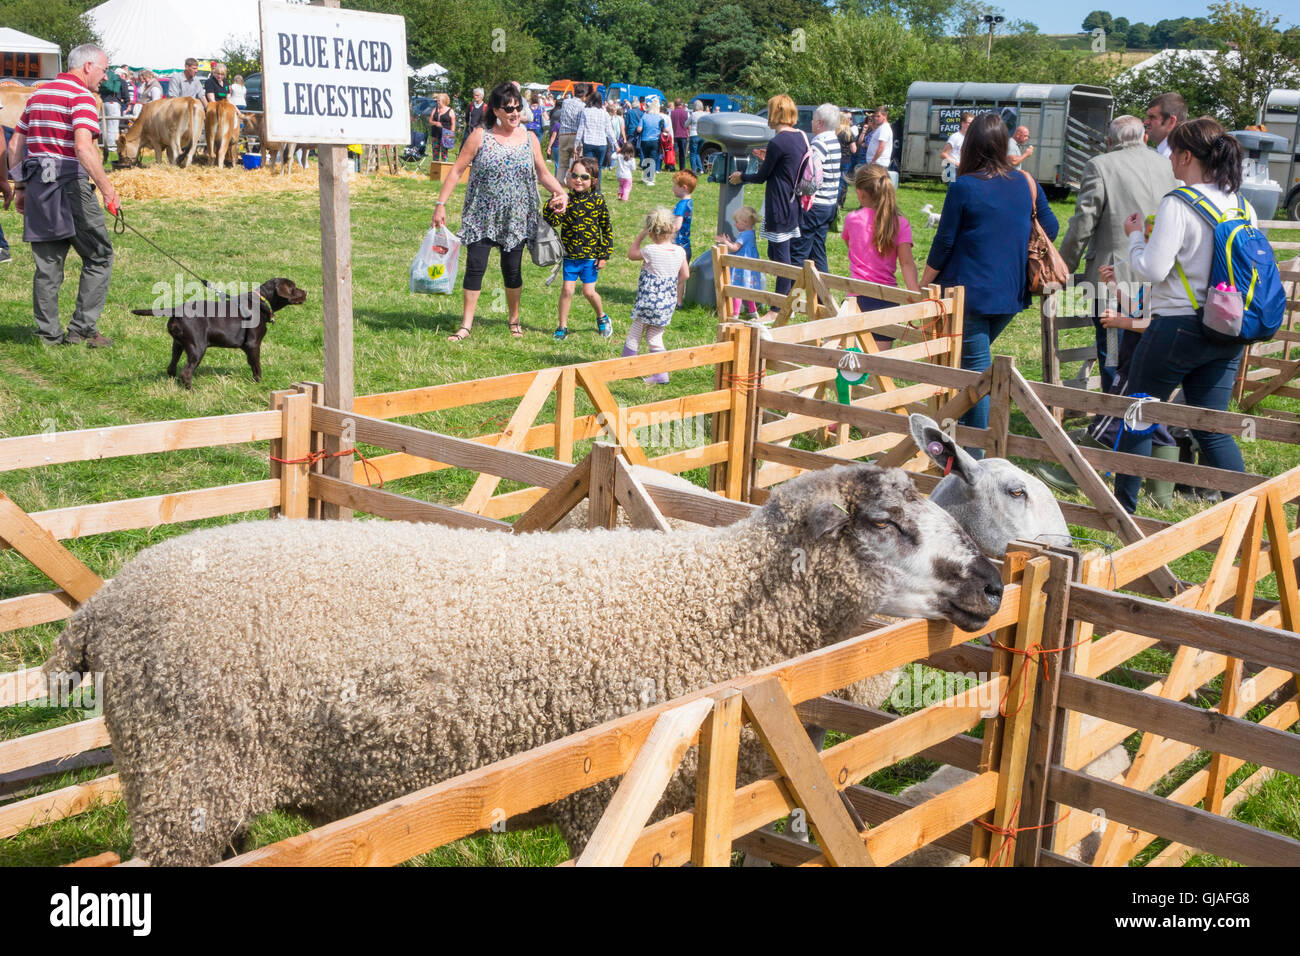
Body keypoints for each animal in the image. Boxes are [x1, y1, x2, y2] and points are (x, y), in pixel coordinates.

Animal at [44, 463, 1004, 866]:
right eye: (886, 523)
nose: (994, 583)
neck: (713, 601)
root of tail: (103, 610)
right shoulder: (605, 799)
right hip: (181, 782)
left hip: (201, 790)